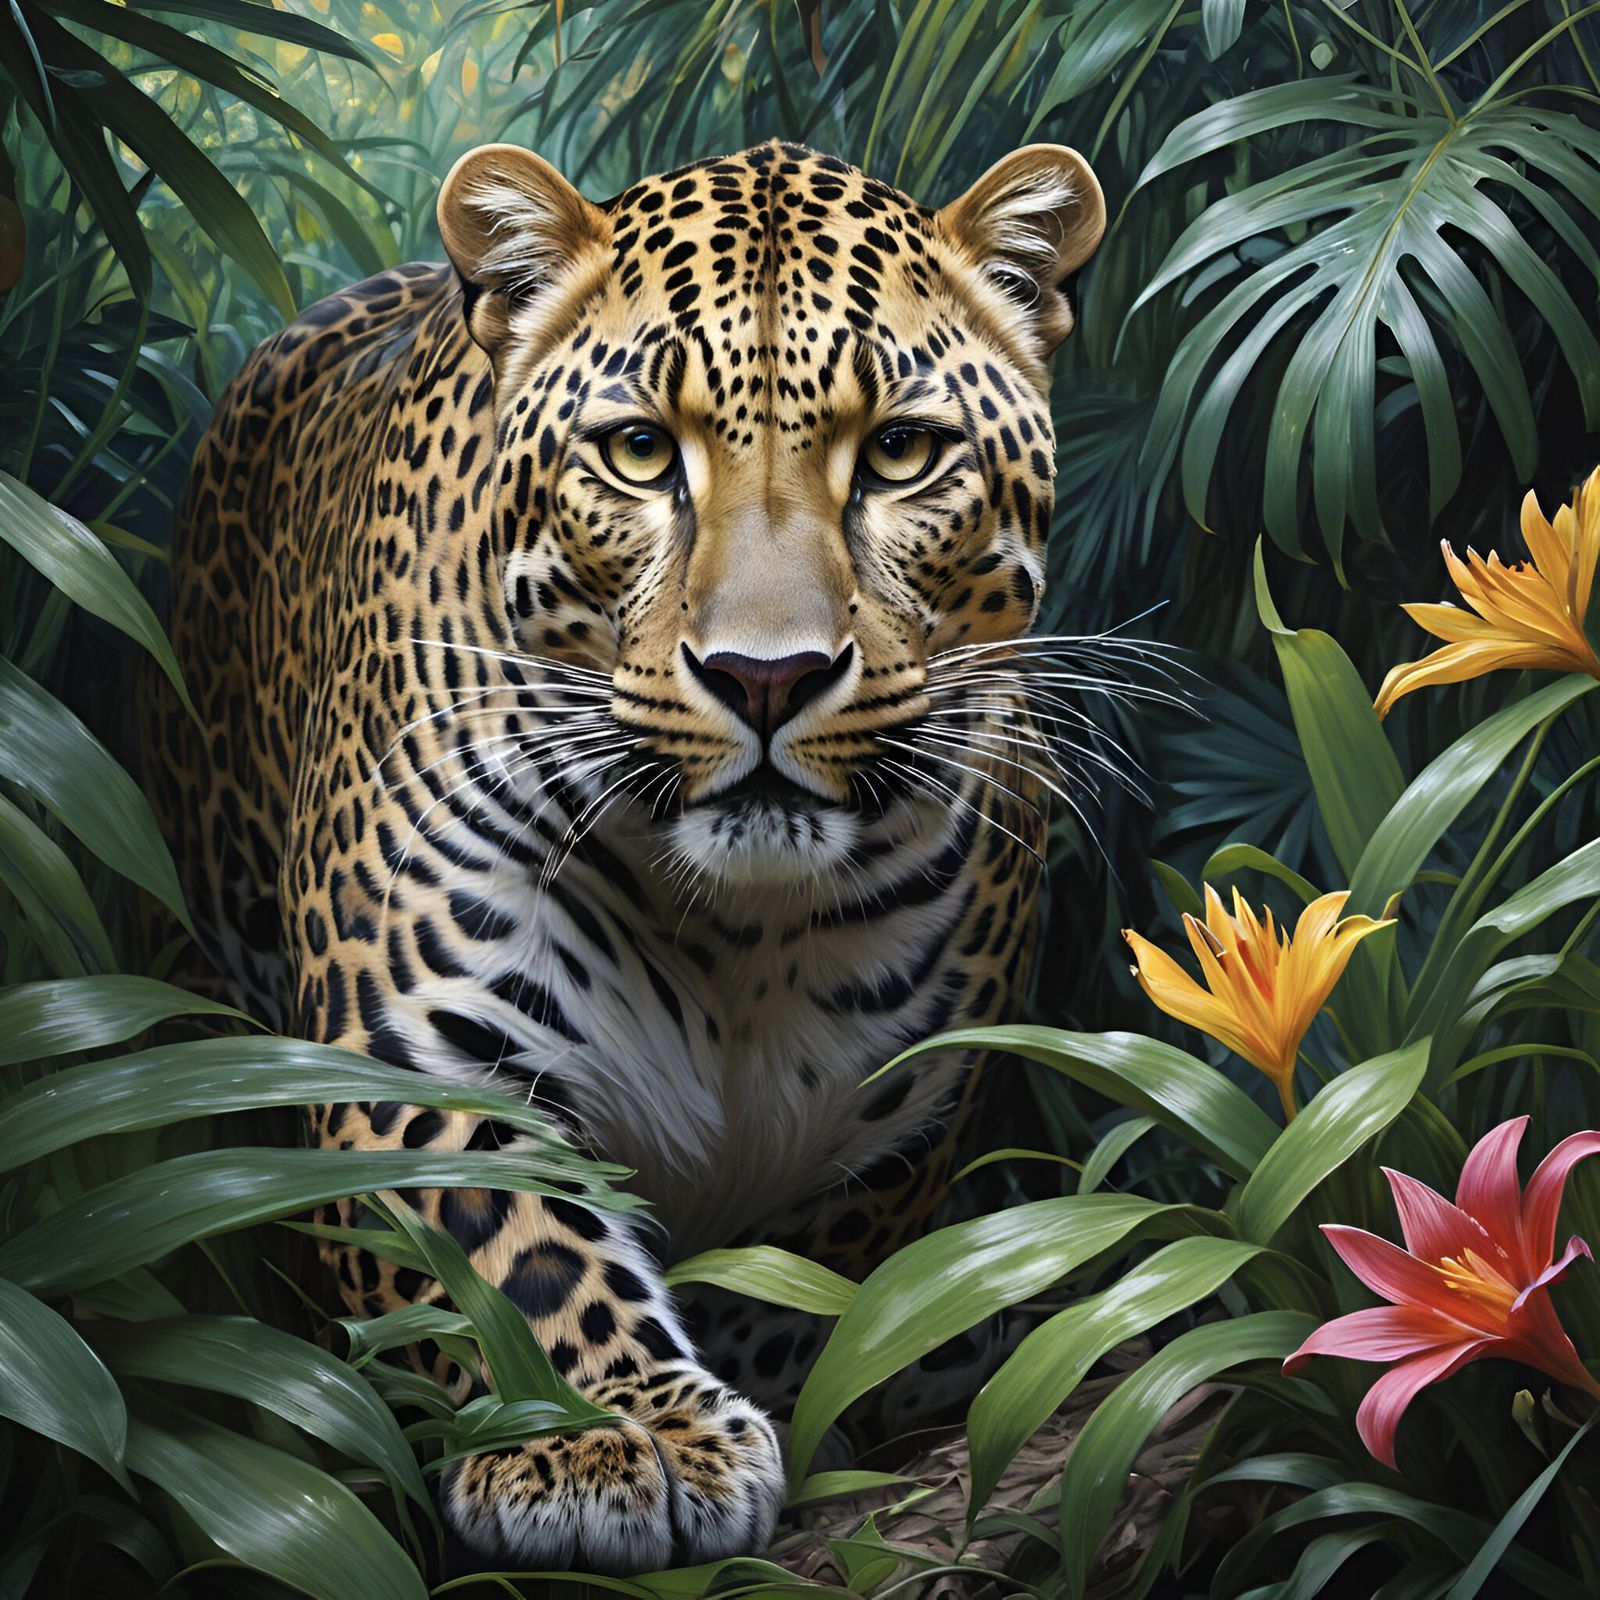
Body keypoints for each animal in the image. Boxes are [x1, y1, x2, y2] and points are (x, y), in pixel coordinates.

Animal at [143, 138, 1107, 1573]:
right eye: (642, 452)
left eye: (900, 451)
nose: (767, 678)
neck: (741, 933)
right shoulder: (412, 1043)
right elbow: (508, 1242)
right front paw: (604, 1438)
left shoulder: (895, 1125)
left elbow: (809, 1289)